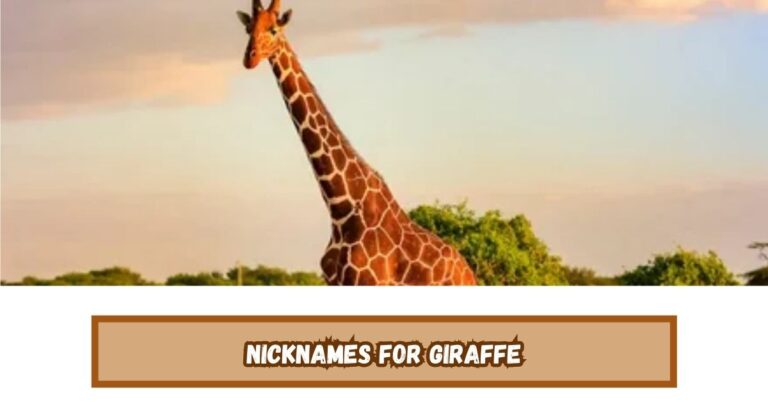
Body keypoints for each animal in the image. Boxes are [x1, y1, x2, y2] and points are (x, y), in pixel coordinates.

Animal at [236, 0, 476, 286]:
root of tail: (469, 274)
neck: (341, 210)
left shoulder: (368, 281)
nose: (249, 58)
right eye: (249, 28)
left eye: (273, 29)